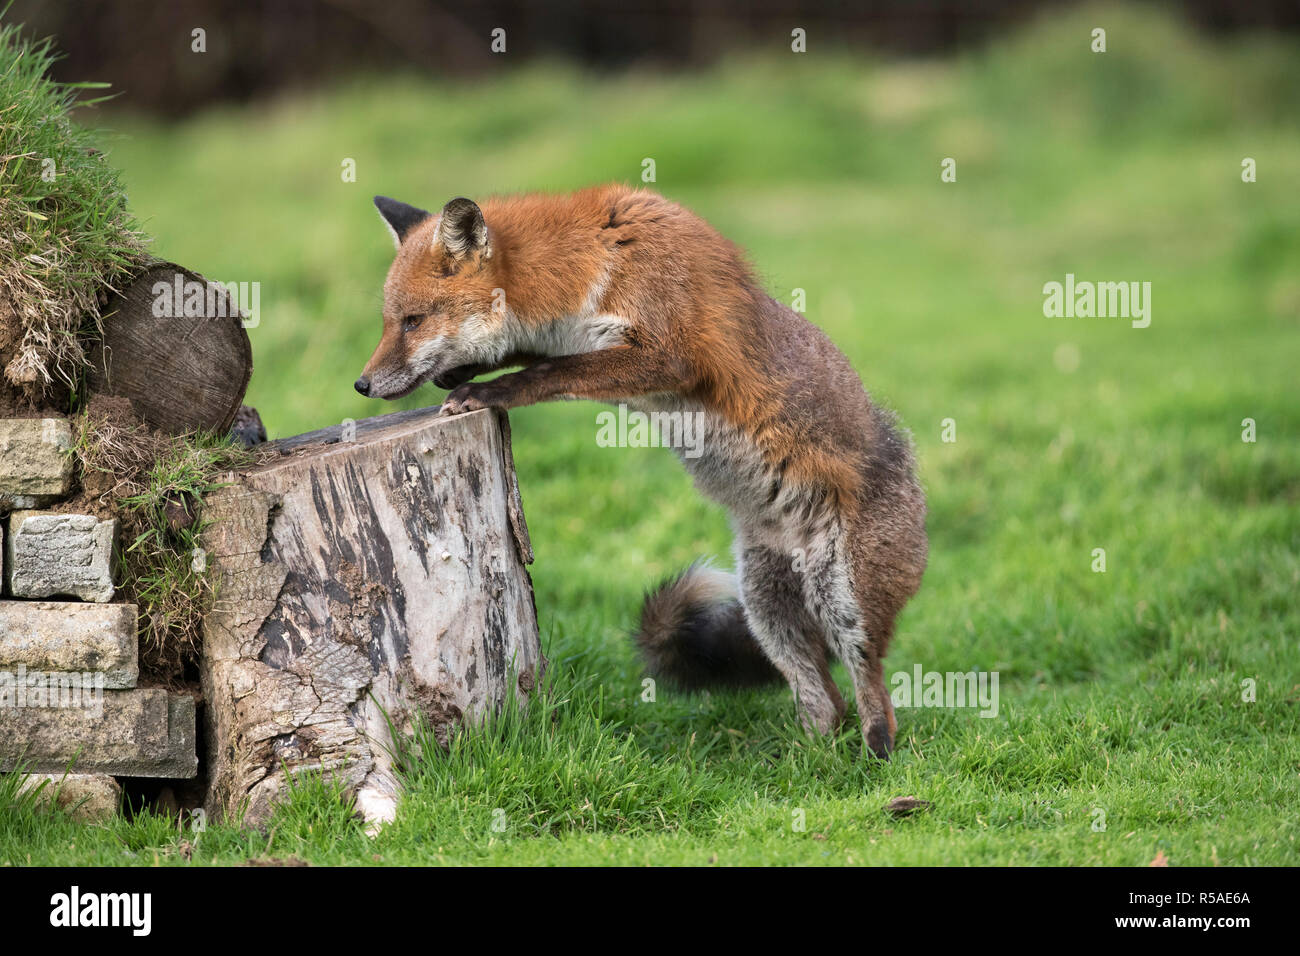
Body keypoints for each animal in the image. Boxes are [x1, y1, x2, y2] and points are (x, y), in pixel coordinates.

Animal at [356, 184, 927, 758]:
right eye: (388, 322)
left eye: (412, 321)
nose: (362, 384)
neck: (593, 261)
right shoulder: (579, 338)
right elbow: (535, 354)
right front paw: (466, 373)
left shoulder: (668, 353)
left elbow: (549, 372)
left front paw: (487, 390)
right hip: (769, 610)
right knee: (826, 704)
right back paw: (803, 761)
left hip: (843, 603)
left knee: (871, 688)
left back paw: (874, 756)